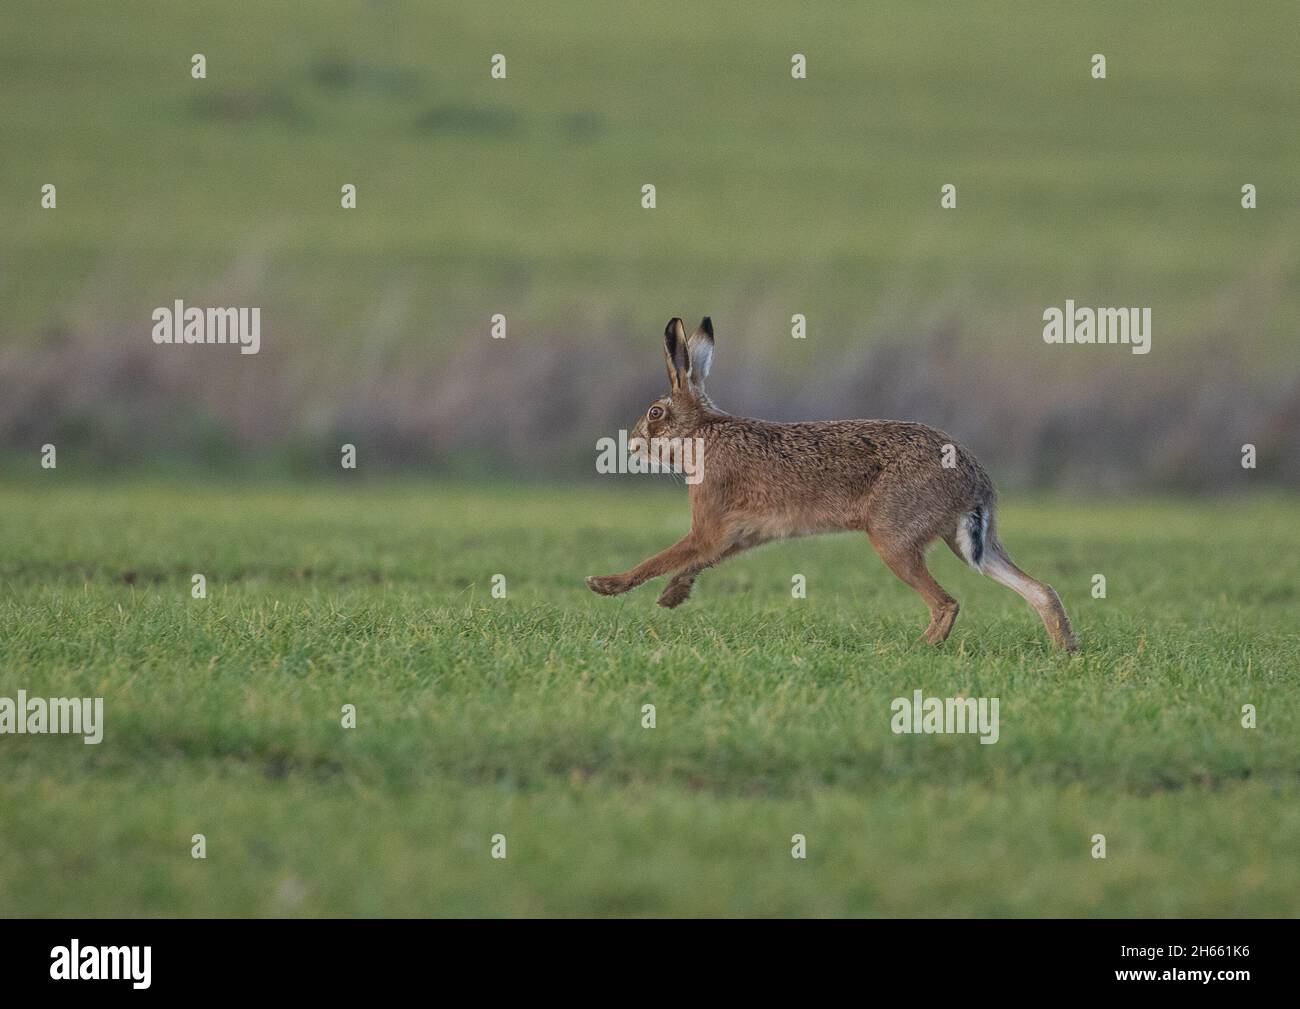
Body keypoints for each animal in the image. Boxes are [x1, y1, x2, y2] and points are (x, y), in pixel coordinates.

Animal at [586, 317, 1078, 650]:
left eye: (655, 413)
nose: (633, 445)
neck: (702, 433)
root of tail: (975, 479)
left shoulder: (709, 523)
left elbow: (661, 558)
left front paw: (605, 585)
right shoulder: (738, 534)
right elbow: (698, 561)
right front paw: (672, 599)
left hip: (893, 537)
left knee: (947, 603)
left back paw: (917, 648)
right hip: (968, 541)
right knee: (1039, 589)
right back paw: (1064, 651)